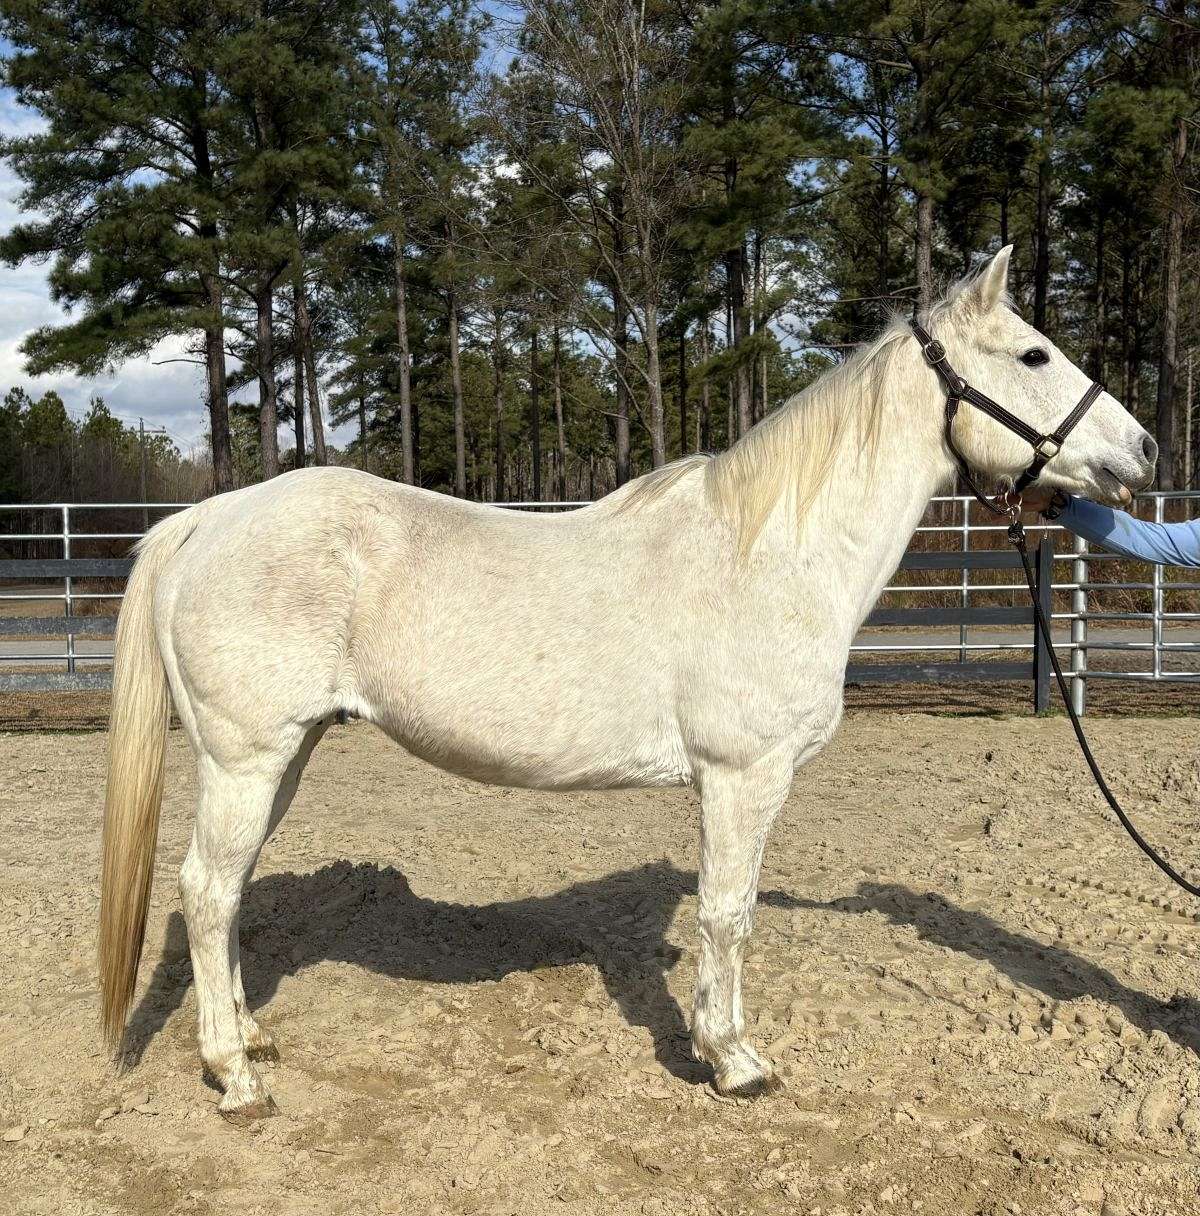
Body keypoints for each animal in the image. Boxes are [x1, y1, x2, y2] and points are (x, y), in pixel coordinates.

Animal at [99, 246, 1156, 1120]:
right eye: (1032, 355)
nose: (1143, 451)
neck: (769, 553)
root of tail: (206, 519)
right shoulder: (742, 777)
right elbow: (729, 914)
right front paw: (734, 1062)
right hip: (247, 759)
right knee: (205, 889)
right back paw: (234, 1077)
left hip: (284, 757)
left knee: (227, 890)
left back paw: (252, 1040)